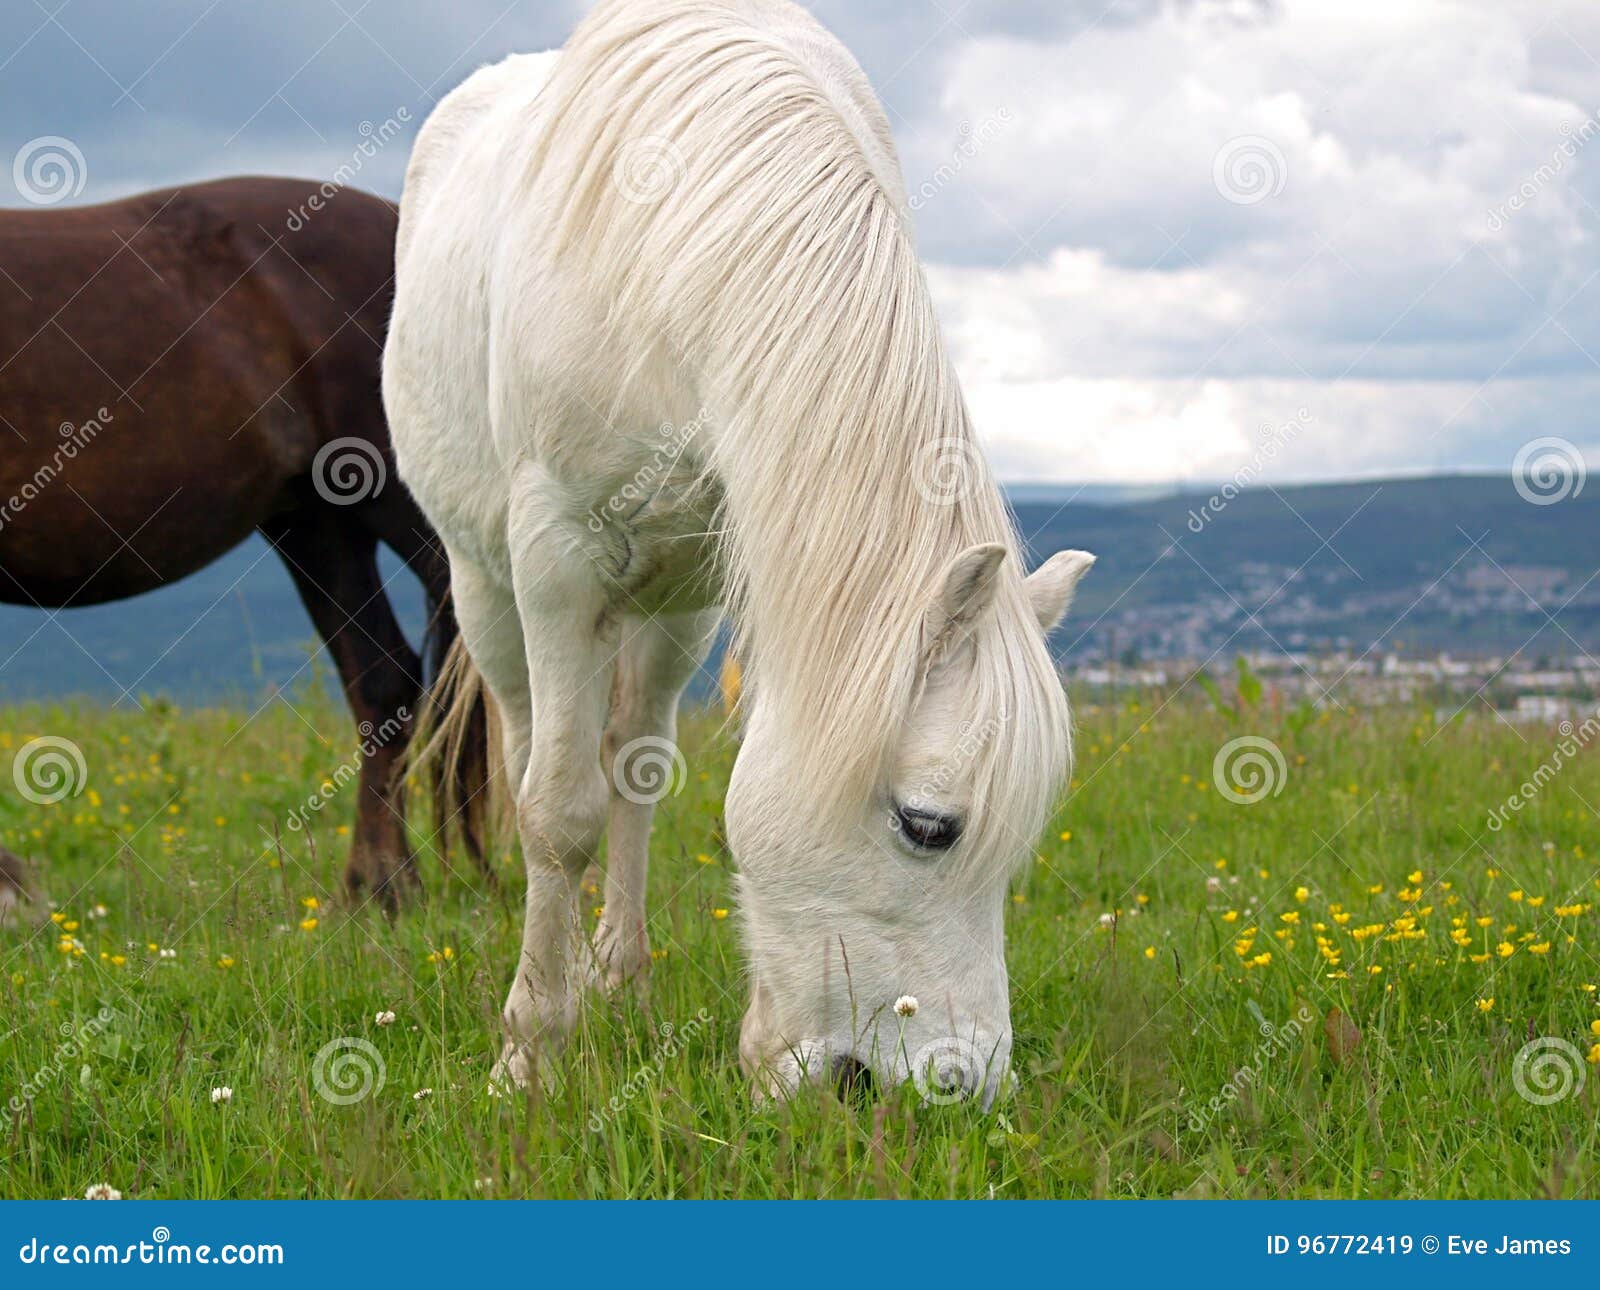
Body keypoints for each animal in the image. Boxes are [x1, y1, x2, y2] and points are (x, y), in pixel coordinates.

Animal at [385, 0, 1094, 1104]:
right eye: (927, 825)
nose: (967, 1090)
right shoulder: (555, 561)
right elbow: (558, 813)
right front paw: (528, 1052)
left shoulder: (726, 574)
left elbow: (637, 786)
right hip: (489, 584)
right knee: (533, 743)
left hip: (672, 604)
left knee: (635, 760)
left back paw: (620, 982)